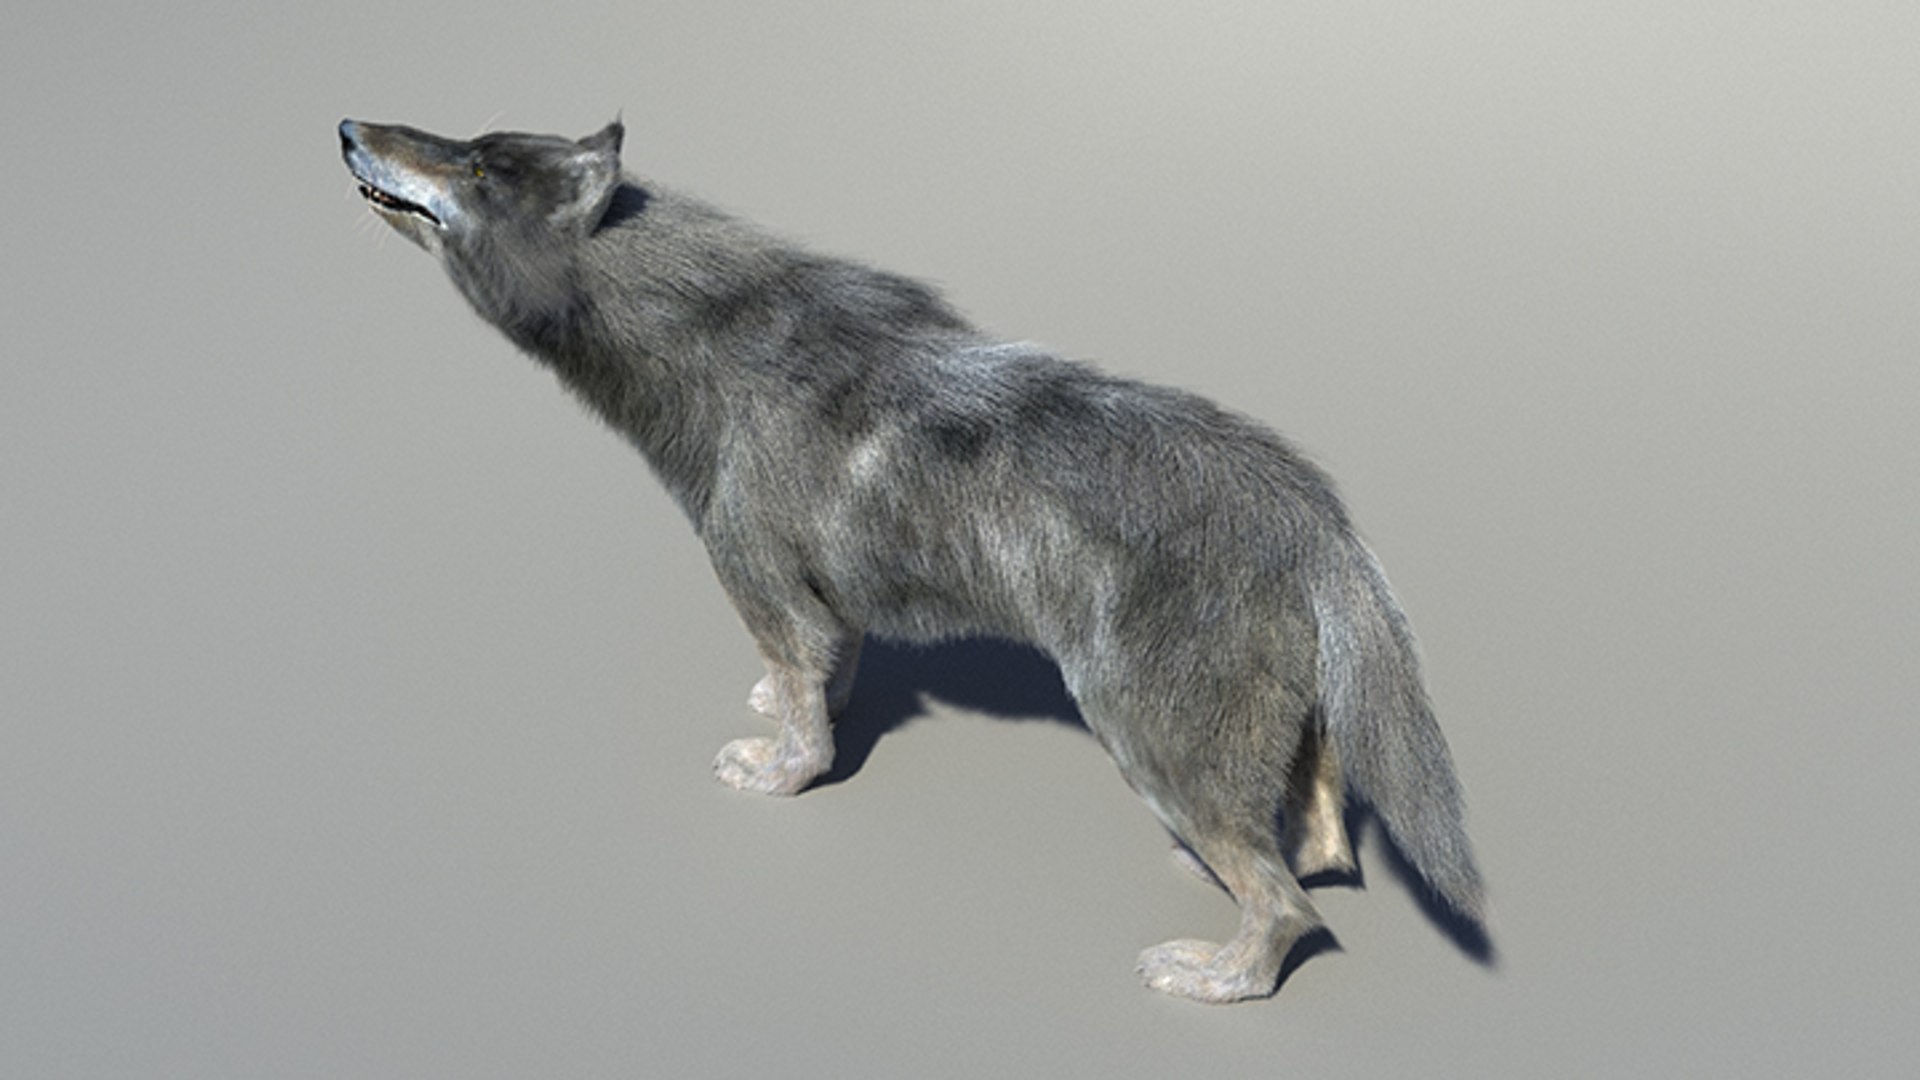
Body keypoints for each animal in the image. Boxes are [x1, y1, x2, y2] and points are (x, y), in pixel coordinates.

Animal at [338, 116, 1484, 1003]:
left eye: (479, 168)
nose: (348, 126)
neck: (698, 335)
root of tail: (1312, 506)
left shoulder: (759, 578)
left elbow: (805, 720)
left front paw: (777, 771)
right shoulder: (820, 603)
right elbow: (820, 677)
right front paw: (779, 711)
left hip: (1149, 737)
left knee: (1289, 903)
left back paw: (1213, 975)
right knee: (1324, 844)